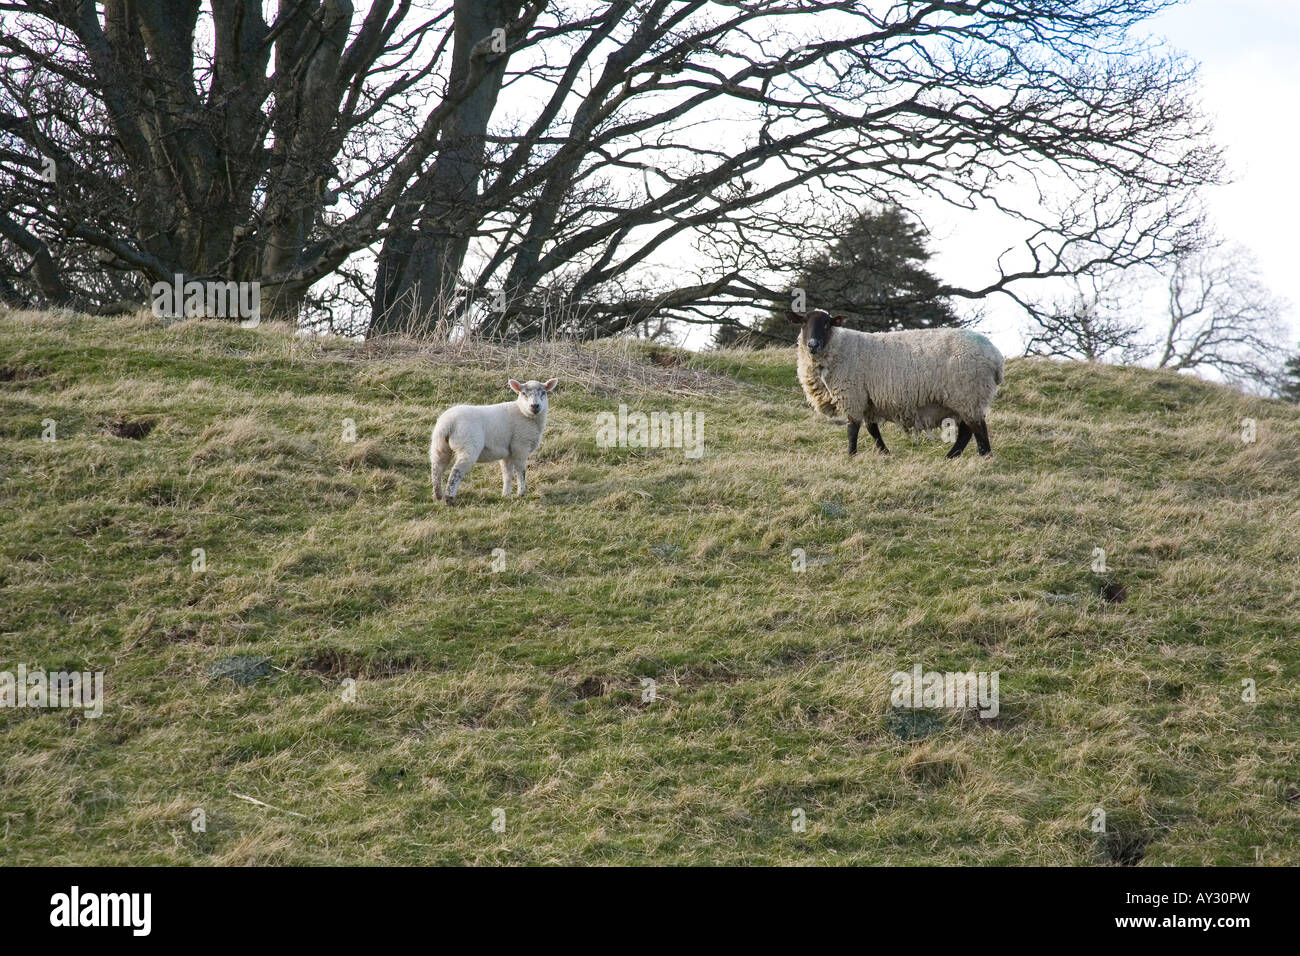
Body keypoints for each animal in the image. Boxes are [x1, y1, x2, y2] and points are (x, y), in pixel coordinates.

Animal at [788, 309, 1004, 458]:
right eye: (804, 323)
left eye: (827, 324)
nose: (813, 344)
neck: (838, 348)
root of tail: (995, 356)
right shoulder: (868, 400)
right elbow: (872, 429)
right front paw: (885, 452)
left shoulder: (852, 395)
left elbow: (852, 429)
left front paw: (851, 455)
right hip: (967, 398)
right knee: (967, 430)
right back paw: (952, 456)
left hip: (969, 394)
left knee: (977, 428)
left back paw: (984, 456)